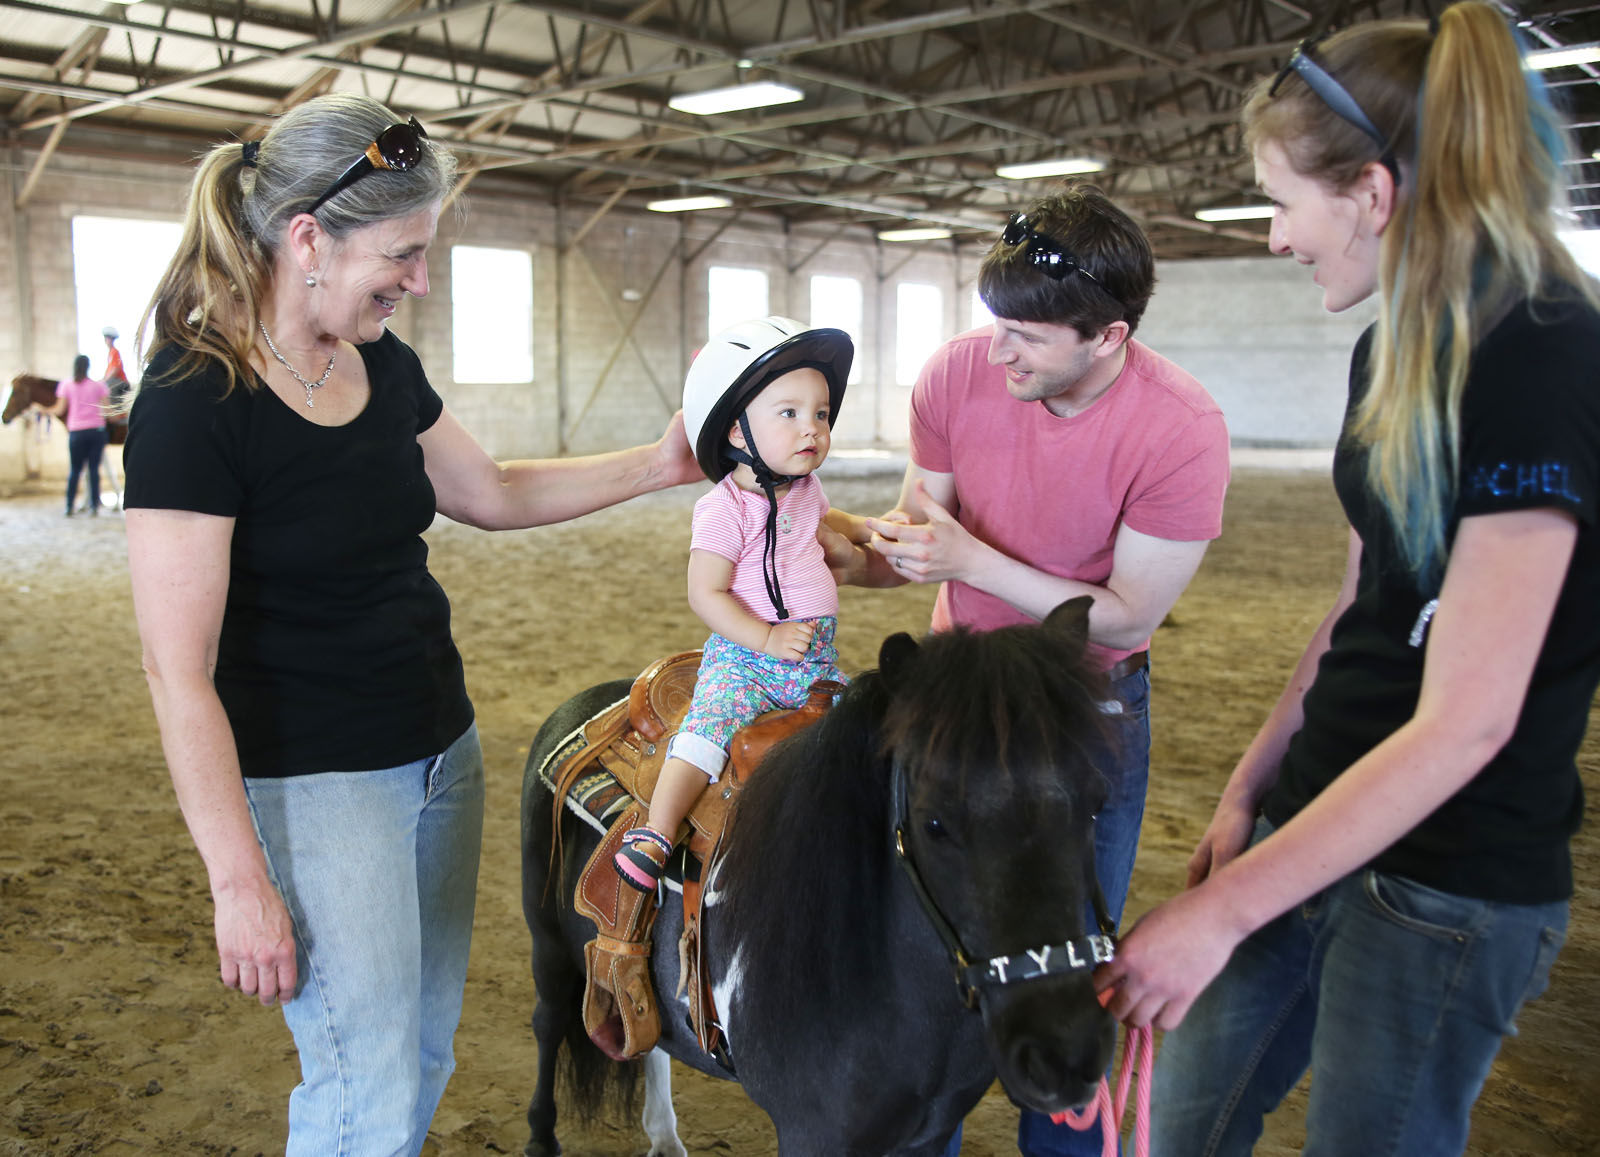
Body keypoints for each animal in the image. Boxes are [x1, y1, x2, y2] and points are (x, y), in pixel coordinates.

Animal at [520, 597, 1120, 1157]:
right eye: (934, 823)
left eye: (1097, 803)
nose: (1061, 1054)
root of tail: (593, 702)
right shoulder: (814, 1133)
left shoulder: (929, 1134)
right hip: (547, 946)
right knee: (549, 1023)